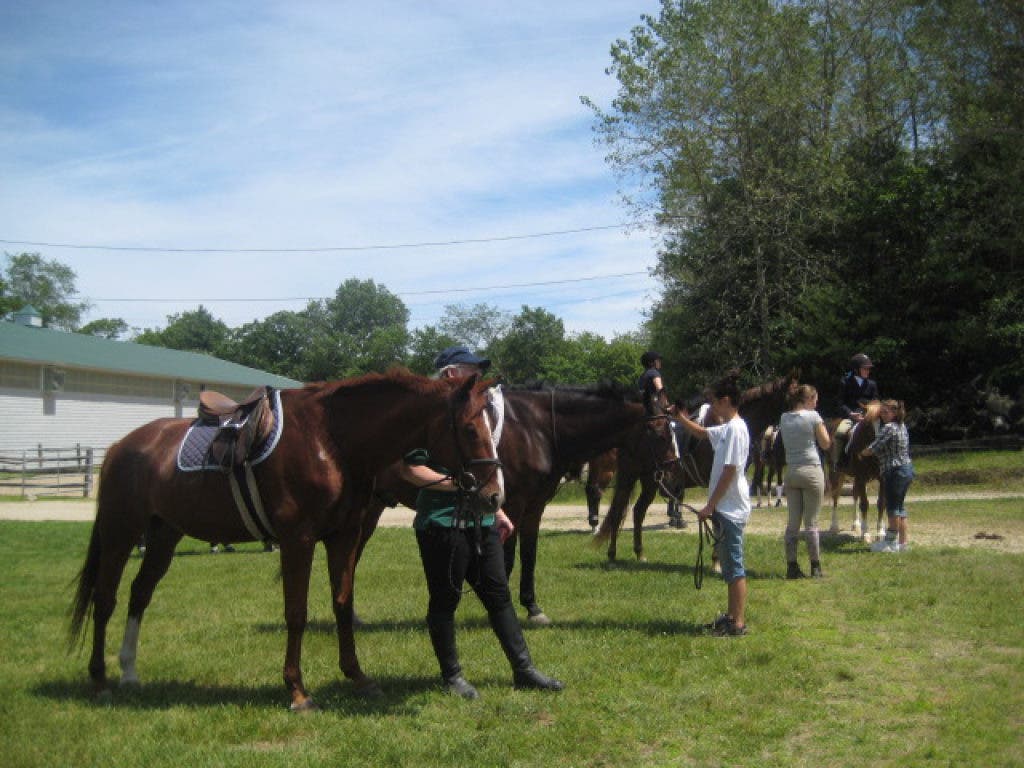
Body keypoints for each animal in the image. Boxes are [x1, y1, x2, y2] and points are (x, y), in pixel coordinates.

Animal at [68, 370, 505, 711]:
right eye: (470, 429)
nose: (494, 496)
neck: (332, 440)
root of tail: (121, 447)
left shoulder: (343, 537)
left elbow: (343, 604)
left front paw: (358, 677)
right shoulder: (299, 539)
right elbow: (297, 613)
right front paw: (297, 691)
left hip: (163, 535)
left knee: (140, 594)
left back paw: (129, 672)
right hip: (120, 532)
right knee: (104, 599)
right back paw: (100, 680)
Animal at [360, 383, 681, 626]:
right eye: (660, 433)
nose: (672, 472)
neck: (537, 430)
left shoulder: (534, 508)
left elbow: (529, 556)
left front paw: (533, 608)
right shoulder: (512, 505)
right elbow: (508, 560)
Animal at [597, 372, 798, 561]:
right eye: (794, 394)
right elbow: (717, 519)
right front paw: (716, 560)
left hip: (651, 481)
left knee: (638, 512)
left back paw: (639, 553)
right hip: (629, 477)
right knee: (618, 512)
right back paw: (612, 553)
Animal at [826, 401, 884, 540]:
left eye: (885, 422)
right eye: (868, 425)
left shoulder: (883, 479)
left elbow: (881, 503)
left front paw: (880, 532)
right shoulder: (862, 477)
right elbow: (864, 504)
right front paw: (866, 534)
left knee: (854, 494)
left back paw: (856, 524)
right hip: (836, 473)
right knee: (835, 496)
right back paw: (834, 526)